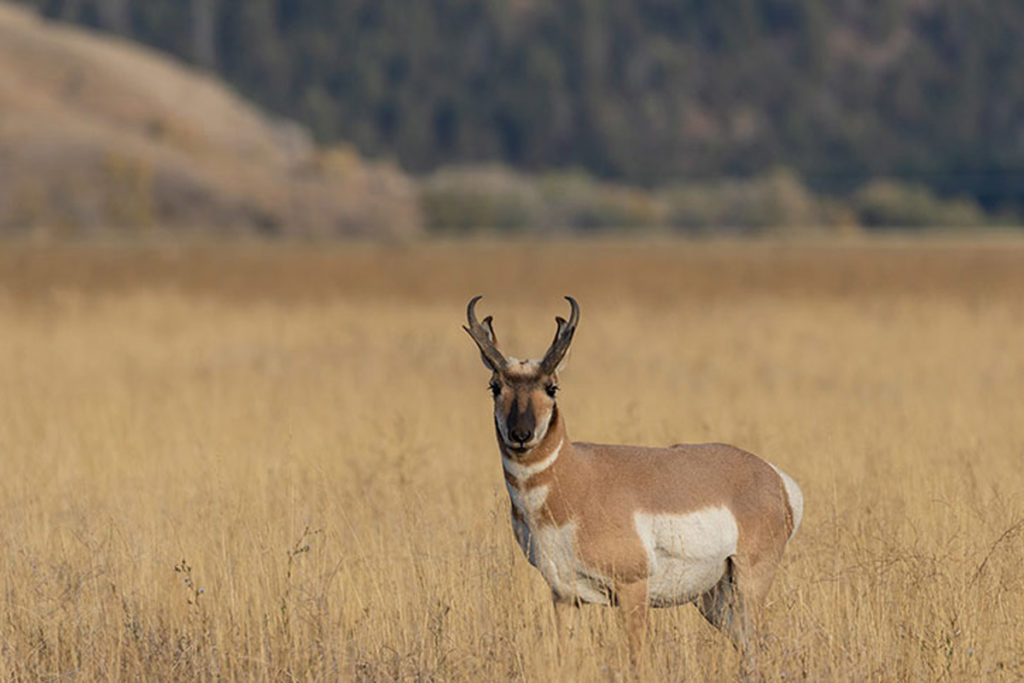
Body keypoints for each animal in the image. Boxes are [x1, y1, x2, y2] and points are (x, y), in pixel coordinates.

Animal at [463, 295, 803, 670]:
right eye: (495, 386)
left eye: (551, 387)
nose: (520, 434)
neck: (575, 478)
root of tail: (775, 476)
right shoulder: (564, 596)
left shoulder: (633, 589)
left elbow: (636, 659)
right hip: (713, 598)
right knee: (746, 646)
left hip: (749, 584)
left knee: (755, 644)